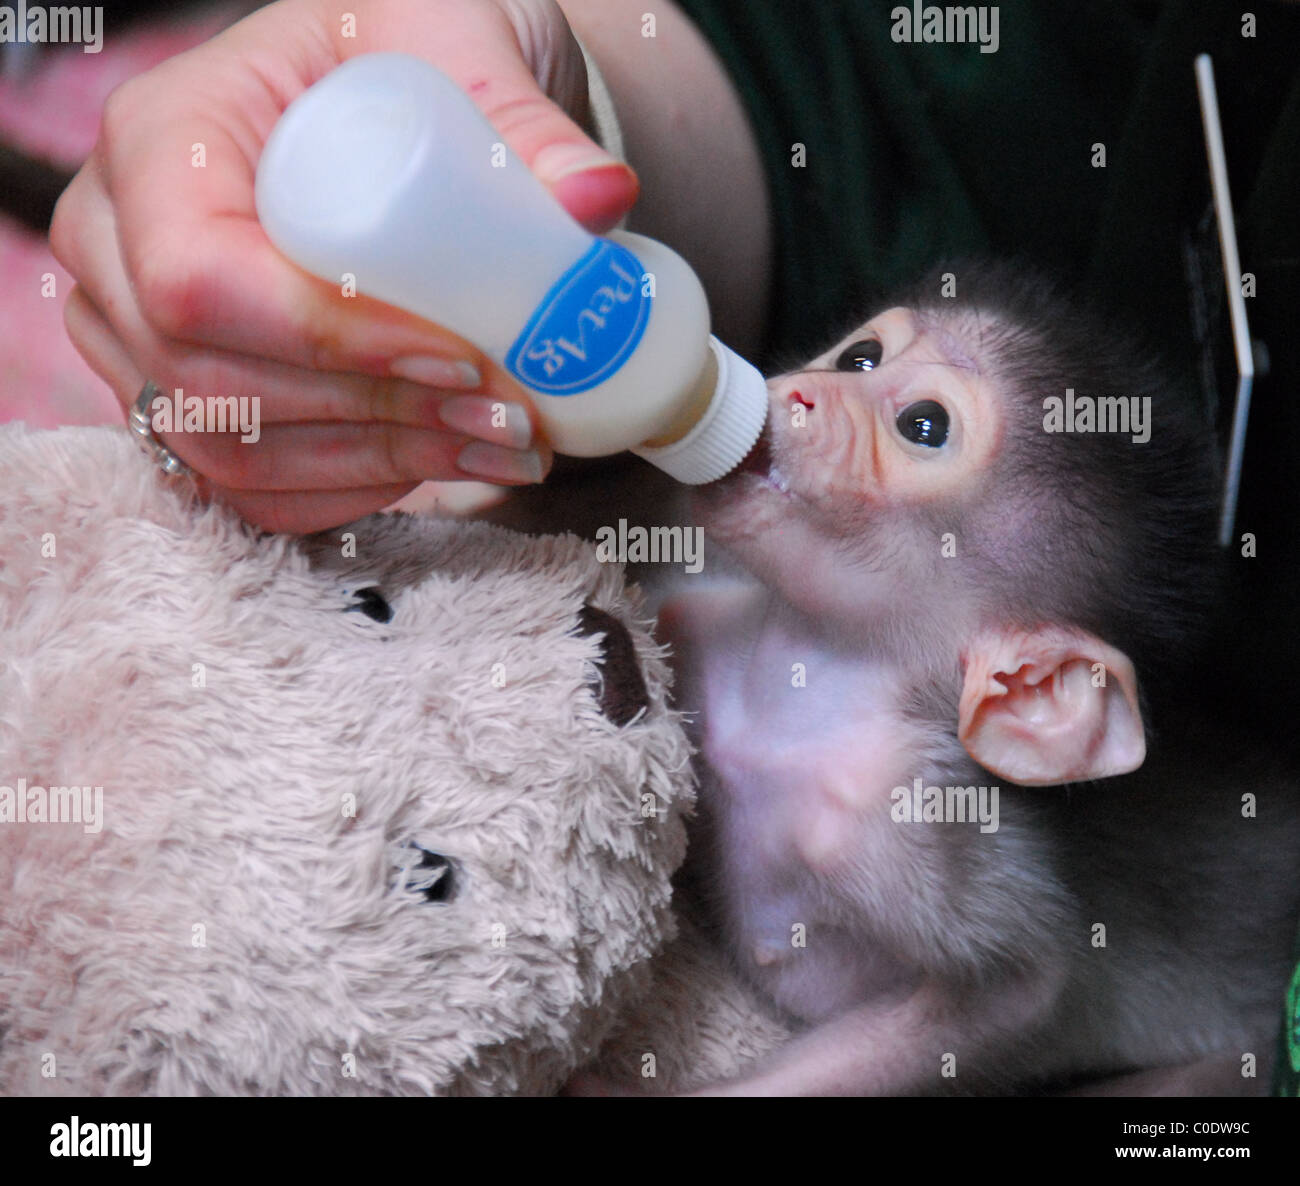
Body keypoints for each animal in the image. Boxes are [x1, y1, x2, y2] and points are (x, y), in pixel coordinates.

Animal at [596, 259, 1300, 1096]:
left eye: (925, 426)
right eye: (861, 357)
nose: (801, 394)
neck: (801, 694)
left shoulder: (911, 824)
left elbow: (1018, 993)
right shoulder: (698, 627)